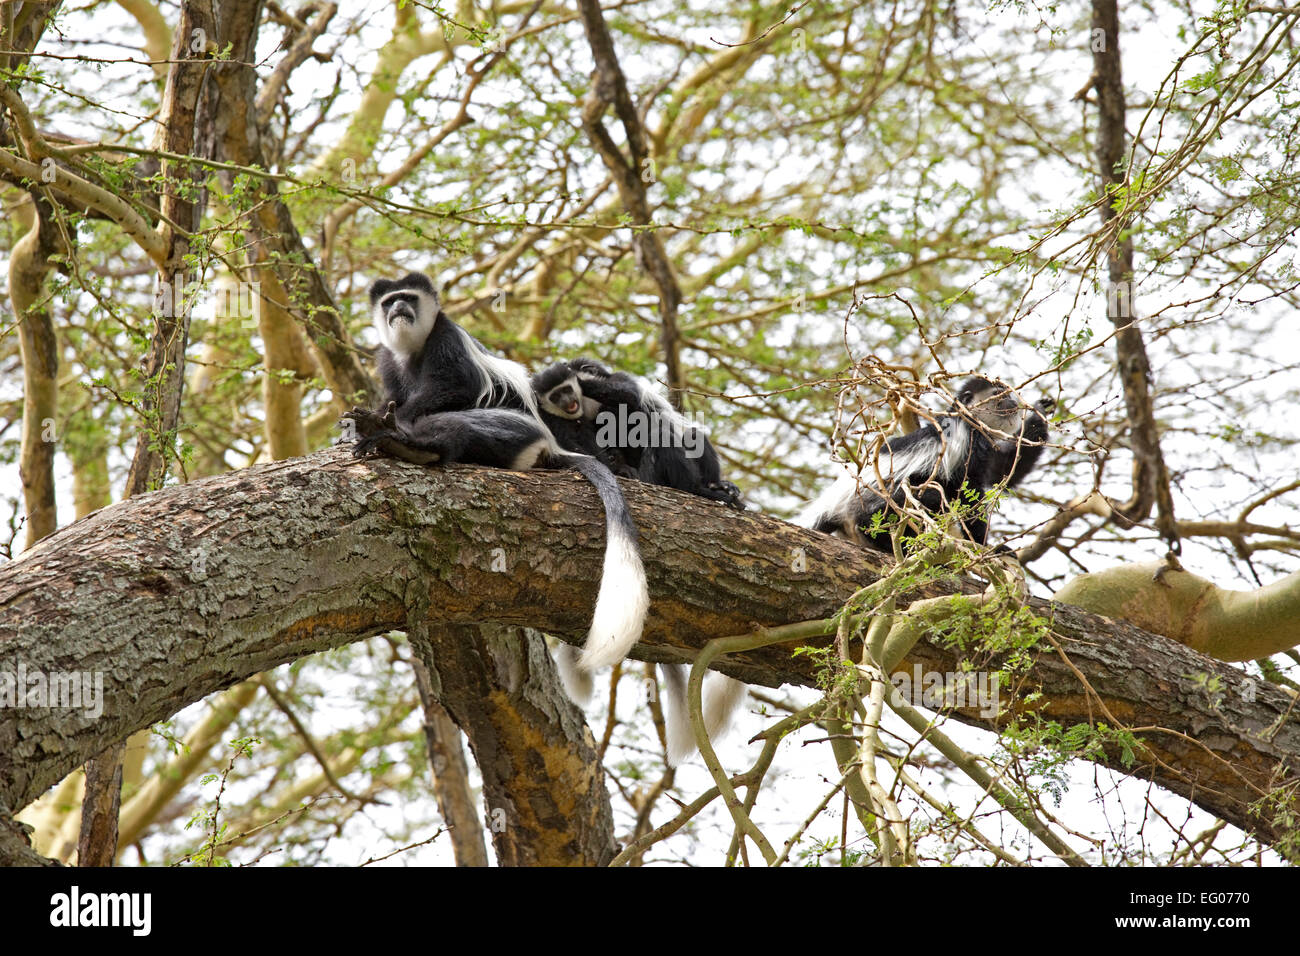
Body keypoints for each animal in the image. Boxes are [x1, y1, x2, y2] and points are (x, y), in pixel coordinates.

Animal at [342, 272, 649, 673]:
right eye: (389, 301)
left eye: (407, 297)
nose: (399, 309)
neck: (413, 349)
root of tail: (550, 444)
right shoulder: (387, 360)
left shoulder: (446, 337)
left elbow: (457, 386)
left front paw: (386, 424)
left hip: (514, 430)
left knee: (455, 424)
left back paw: (410, 444)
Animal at [798, 376, 1052, 554]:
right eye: (999, 395)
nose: (1013, 401)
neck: (968, 421)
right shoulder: (966, 442)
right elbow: (968, 493)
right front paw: (988, 547)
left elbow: (1003, 472)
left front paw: (1040, 412)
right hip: (873, 504)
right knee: (921, 499)